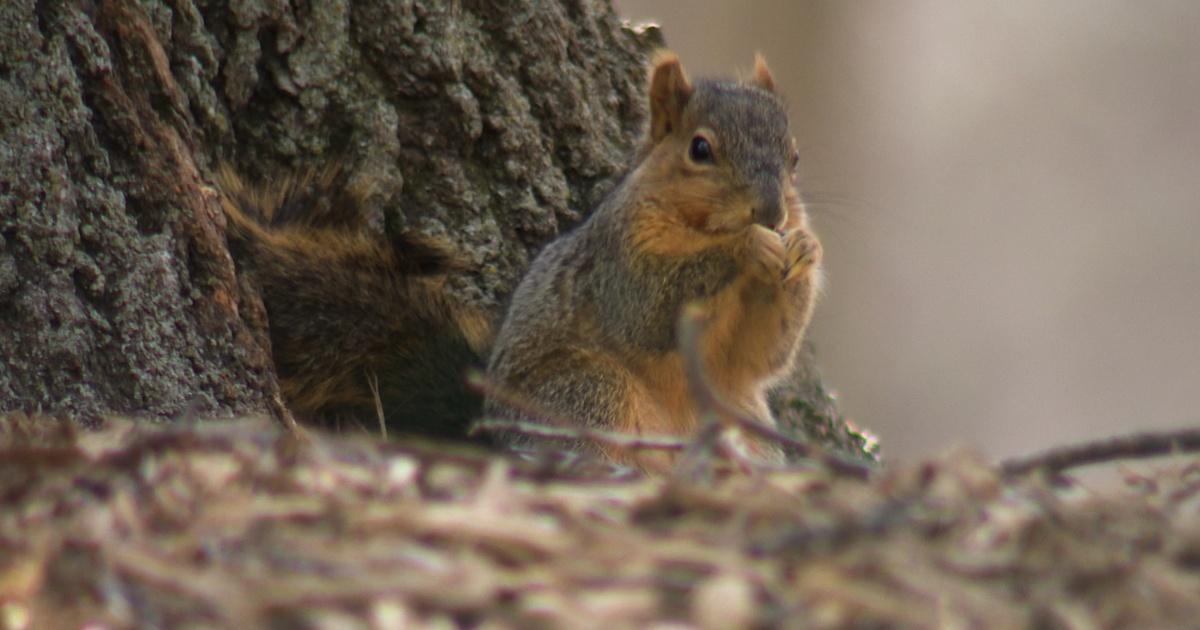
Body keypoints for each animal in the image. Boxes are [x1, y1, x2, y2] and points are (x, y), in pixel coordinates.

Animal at [484, 52, 823, 471]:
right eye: (699, 149)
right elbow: (647, 309)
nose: (773, 213)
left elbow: (765, 353)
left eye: (795, 157)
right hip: (588, 389)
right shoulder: (617, 260)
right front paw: (748, 244)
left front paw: (806, 248)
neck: (703, 228)